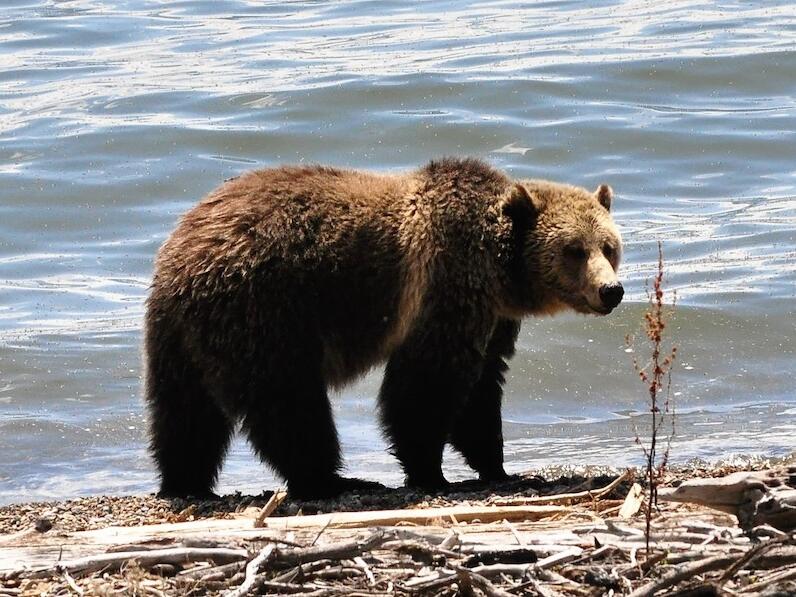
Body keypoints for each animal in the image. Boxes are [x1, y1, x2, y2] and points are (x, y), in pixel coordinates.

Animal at [144, 157, 623, 499]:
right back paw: (331, 479)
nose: (611, 290)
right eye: (574, 250)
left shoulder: (494, 317)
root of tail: (179, 254)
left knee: (185, 412)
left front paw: (497, 465)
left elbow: (484, 385)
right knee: (289, 402)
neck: (502, 269)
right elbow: (428, 385)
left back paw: (186, 480)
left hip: (183, 337)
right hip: (267, 310)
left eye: (609, 246)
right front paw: (431, 471)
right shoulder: (445, 285)